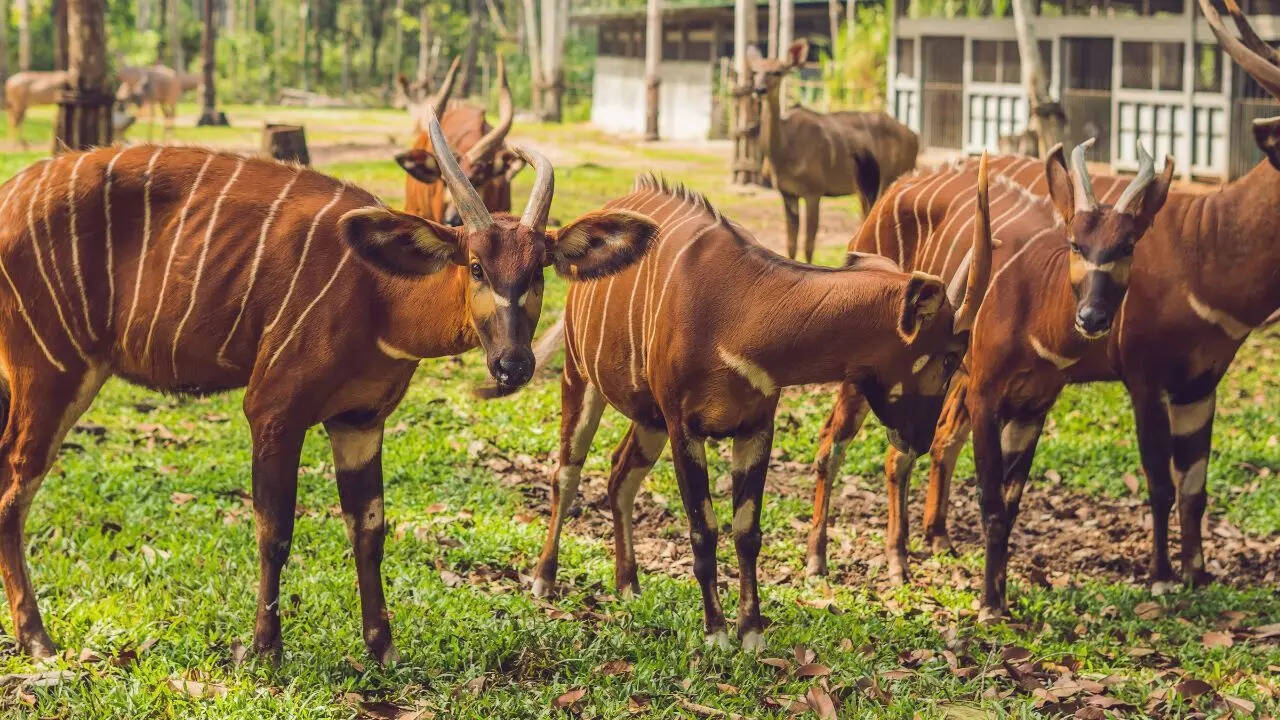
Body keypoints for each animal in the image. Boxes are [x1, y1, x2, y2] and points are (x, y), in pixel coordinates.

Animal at [0, 110, 655, 662]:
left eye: (540, 268)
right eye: (474, 265)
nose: (513, 366)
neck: (380, 295)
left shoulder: (359, 420)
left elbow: (369, 528)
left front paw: (381, 647)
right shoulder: (272, 409)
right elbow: (274, 529)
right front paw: (264, 650)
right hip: (53, 370)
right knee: (14, 489)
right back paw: (38, 641)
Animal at [529, 165, 992, 650]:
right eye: (950, 356)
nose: (919, 439)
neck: (741, 307)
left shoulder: (754, 426)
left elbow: (747, 531)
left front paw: (752, 633)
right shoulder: (685, 428)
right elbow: (704, 528)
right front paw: (716, 633)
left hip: (648, 419)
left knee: (620, 475)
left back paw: (628, 586)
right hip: (581, 380)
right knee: (566, 472)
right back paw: (544, 580)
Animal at [749, 40, 918, 262]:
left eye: (777, 71)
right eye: (754, 71)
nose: (759, 89)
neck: (785, 150)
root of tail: (915, 136)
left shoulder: (813, 192)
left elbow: (809, 245)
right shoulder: (787, 193)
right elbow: (791, 244)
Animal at [805, 142, 1173, 602]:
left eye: (1127, 246)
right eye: (1076, 244)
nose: (1092, 317)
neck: (1036, 310)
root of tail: (889, 194)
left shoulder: (1034, 406)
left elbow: (1011, 504)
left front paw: (998, 594)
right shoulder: (986, 395)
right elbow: (992, 504)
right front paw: (989, 605)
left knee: (902, 453)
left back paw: (900, 563)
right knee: (831, 443)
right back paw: (817, 561)